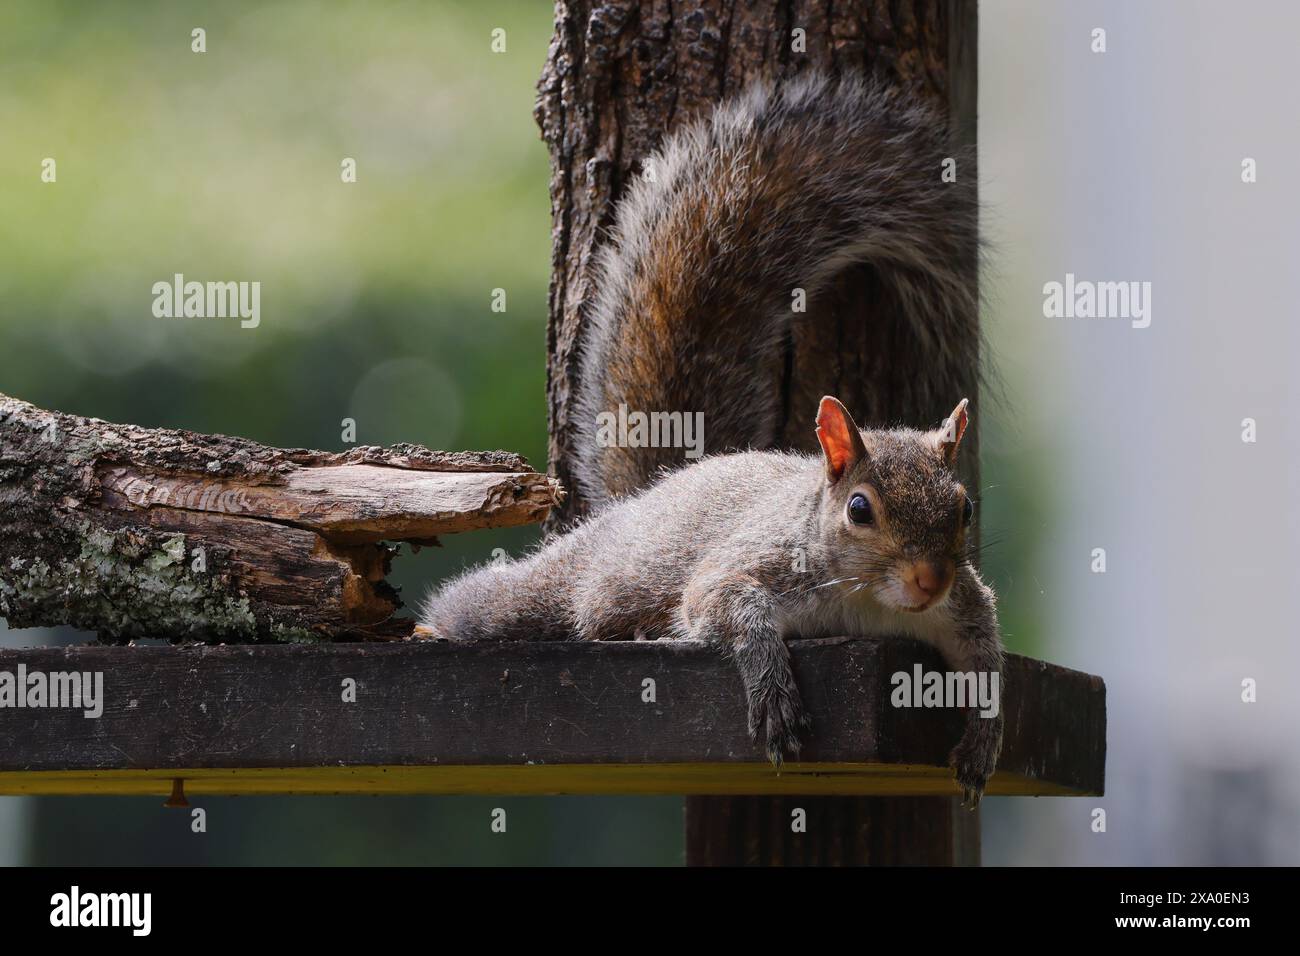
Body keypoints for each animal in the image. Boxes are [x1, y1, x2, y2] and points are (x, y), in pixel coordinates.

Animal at [419, 72, 1003, 805]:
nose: (929, 579)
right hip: (592, 579)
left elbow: (987, 658)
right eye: (859, 509)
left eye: (965, 509)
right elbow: (723, 602)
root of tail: (653, 493)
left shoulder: (962, 607)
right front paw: (772, 688)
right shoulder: (749, 567)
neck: (870, 604)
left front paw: (984, 739)